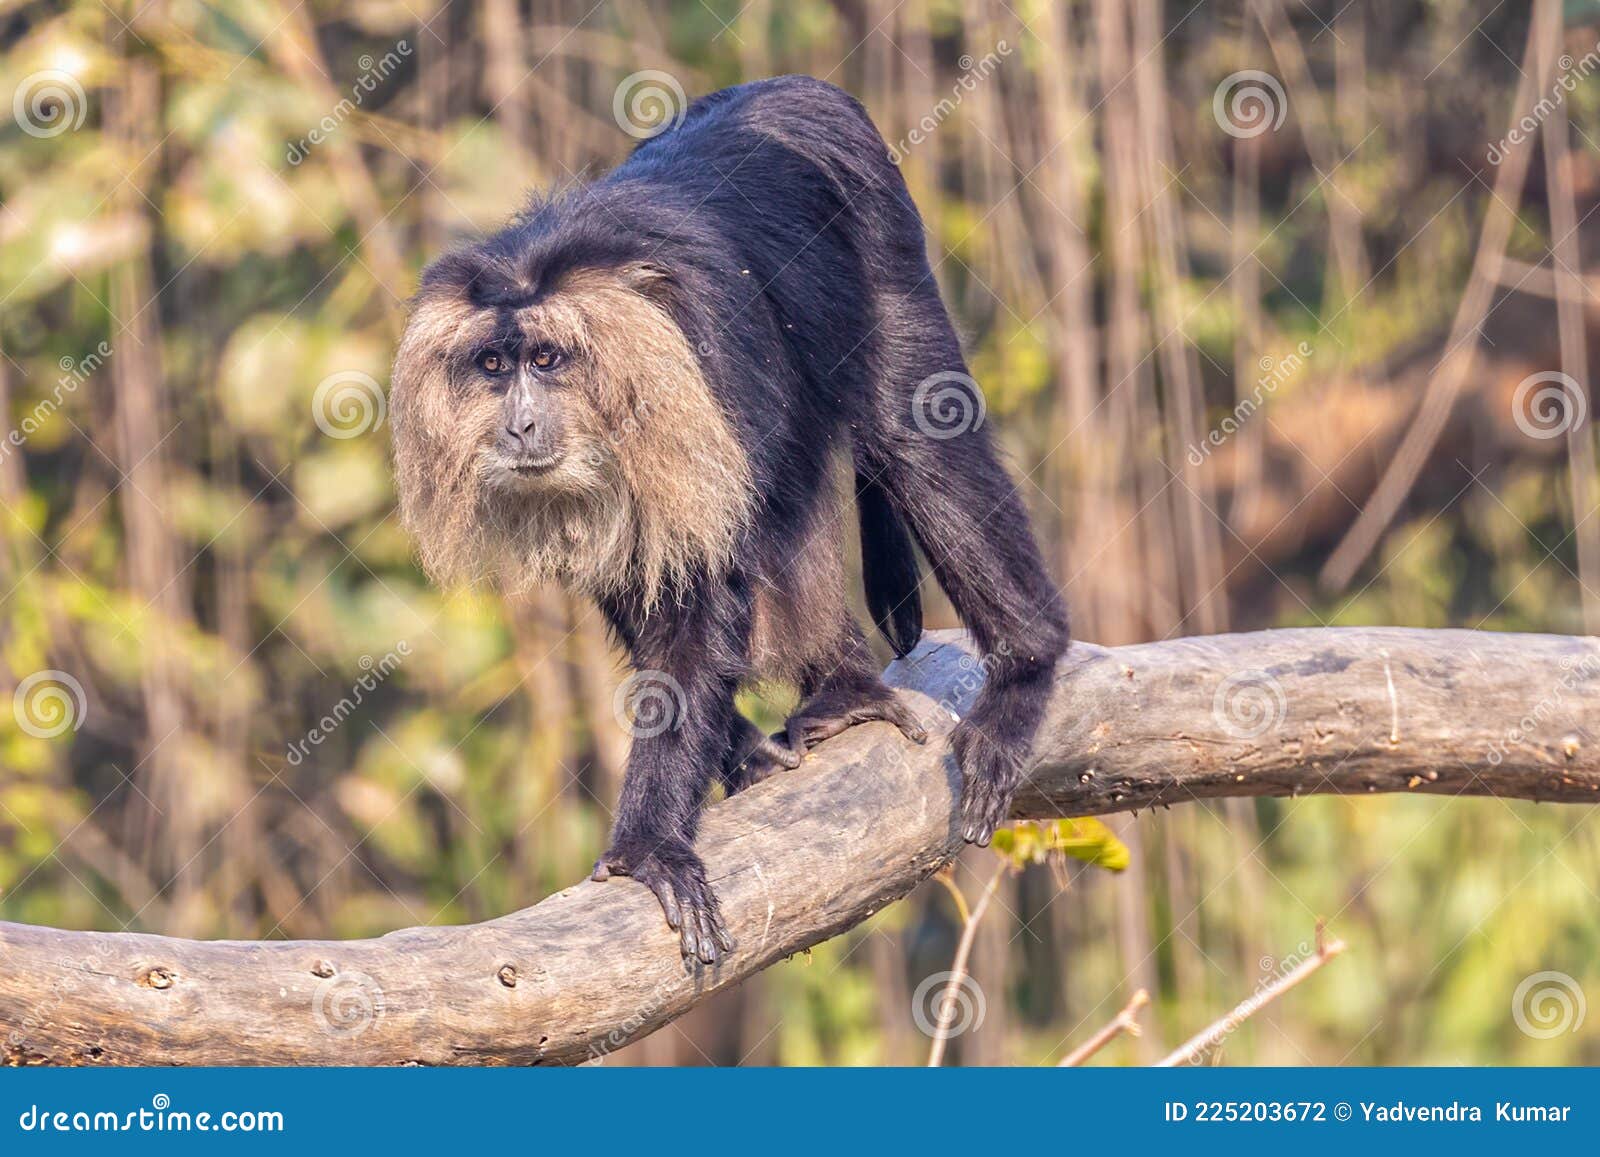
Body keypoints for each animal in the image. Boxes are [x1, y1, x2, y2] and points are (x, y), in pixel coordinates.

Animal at [389, 75, 1070, 966]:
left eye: (546, 359)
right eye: (493, 365)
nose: (520, 424)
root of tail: (796, 93)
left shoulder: (697, 367)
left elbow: (703, 593)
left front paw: (649, 845)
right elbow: (650, 584)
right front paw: (730, 754)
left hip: (882, 241)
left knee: (910, 426)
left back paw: (1021, 668)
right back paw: (840, 686)